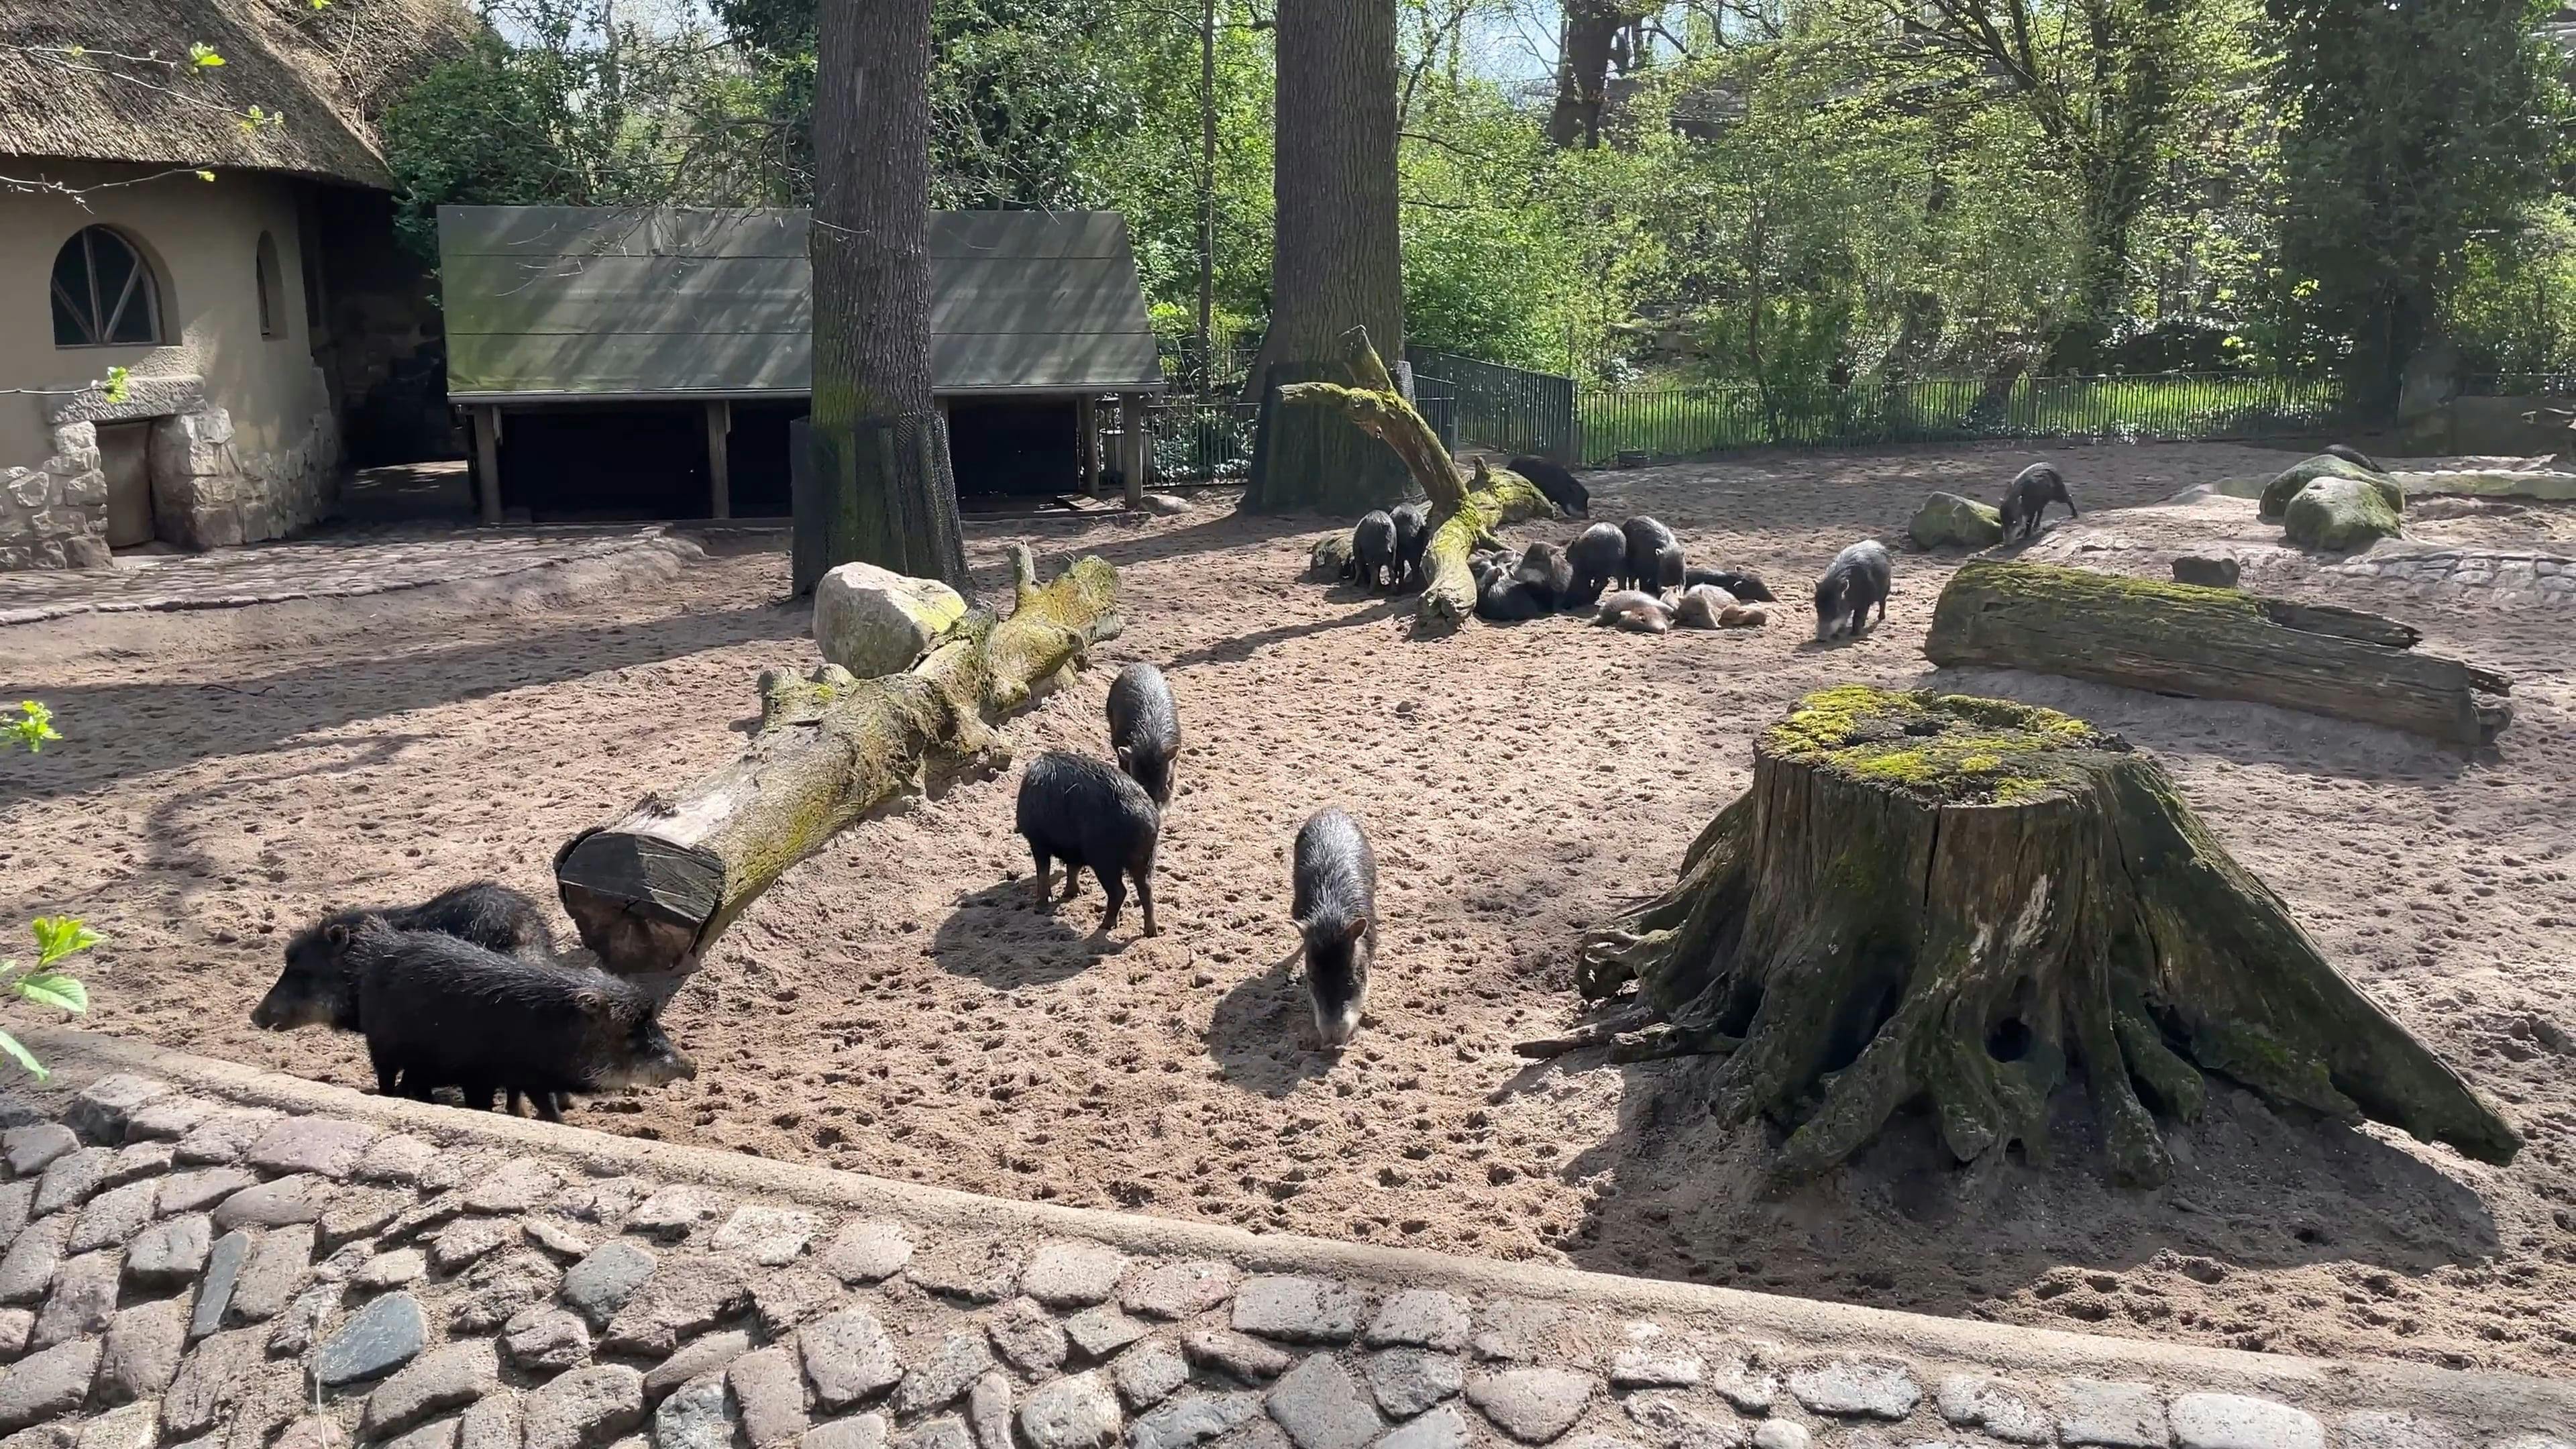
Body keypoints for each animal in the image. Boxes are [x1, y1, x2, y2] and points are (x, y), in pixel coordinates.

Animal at [1016, 750, 1162, 937]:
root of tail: (1147, 818)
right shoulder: (1073, 850)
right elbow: (1073, 868)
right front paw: (1071, 894)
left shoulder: (1038, 841)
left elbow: (1043, 872)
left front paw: (1040, 906)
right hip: (1146, 858)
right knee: (1146, 888)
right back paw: (1151, 932)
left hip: (1105, 860)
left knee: (1120, 891)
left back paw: (1105, 926)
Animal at [1812, 540, 1891, 641]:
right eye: (1817, 606)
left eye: (1836, 607)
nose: (1820, 638)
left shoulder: (1864, 603)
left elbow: (1857, 618)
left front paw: (1854, 634)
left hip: (1886, 588)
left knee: (1883, 602)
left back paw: (1881, 617)